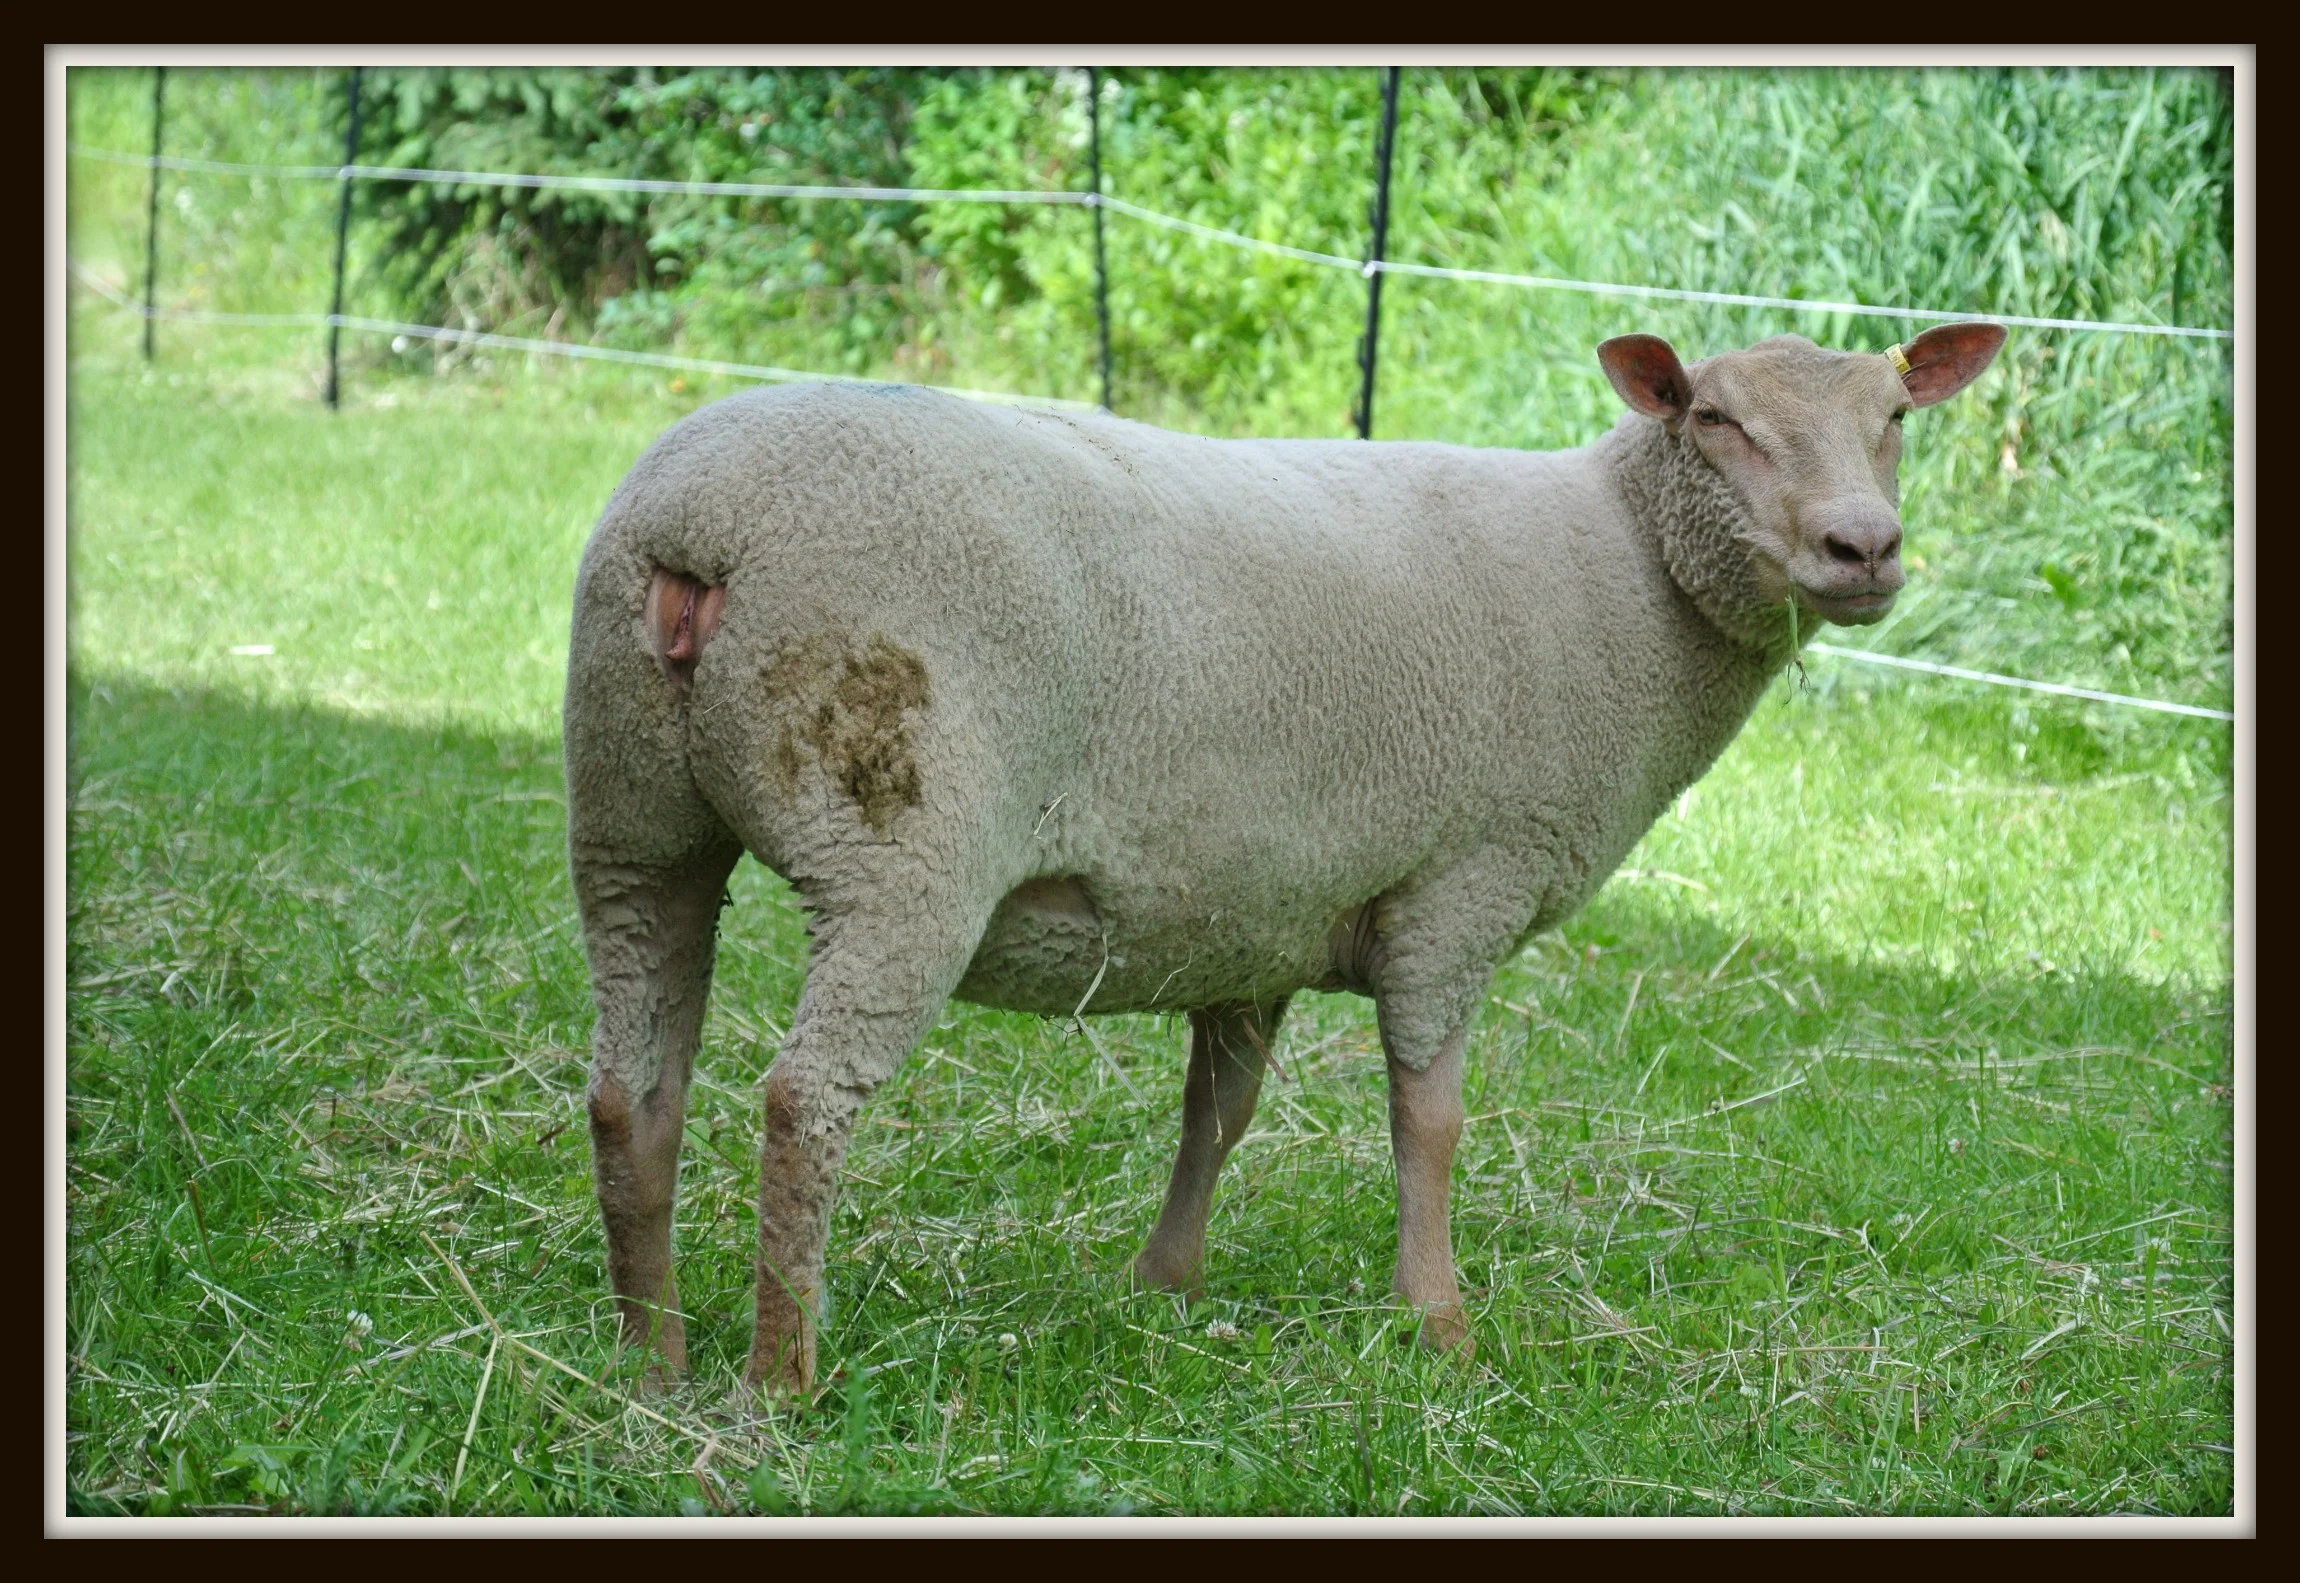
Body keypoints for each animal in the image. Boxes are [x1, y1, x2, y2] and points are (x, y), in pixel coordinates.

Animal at [564, 322, 2006, 1400]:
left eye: (1896, 414)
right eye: (1712, 418)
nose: (1863, 548)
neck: (1623, 577)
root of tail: (698, 527)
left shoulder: (1252, 907)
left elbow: (1219, 1111)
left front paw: (1163, 1289)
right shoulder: (1459, 883)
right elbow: (1430, 1120)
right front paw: (1439, 1325)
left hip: (630, 817)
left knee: (633, 1092)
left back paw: (651, 1359)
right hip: (901, 835)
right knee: (804, 1099)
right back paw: (779, 1382)